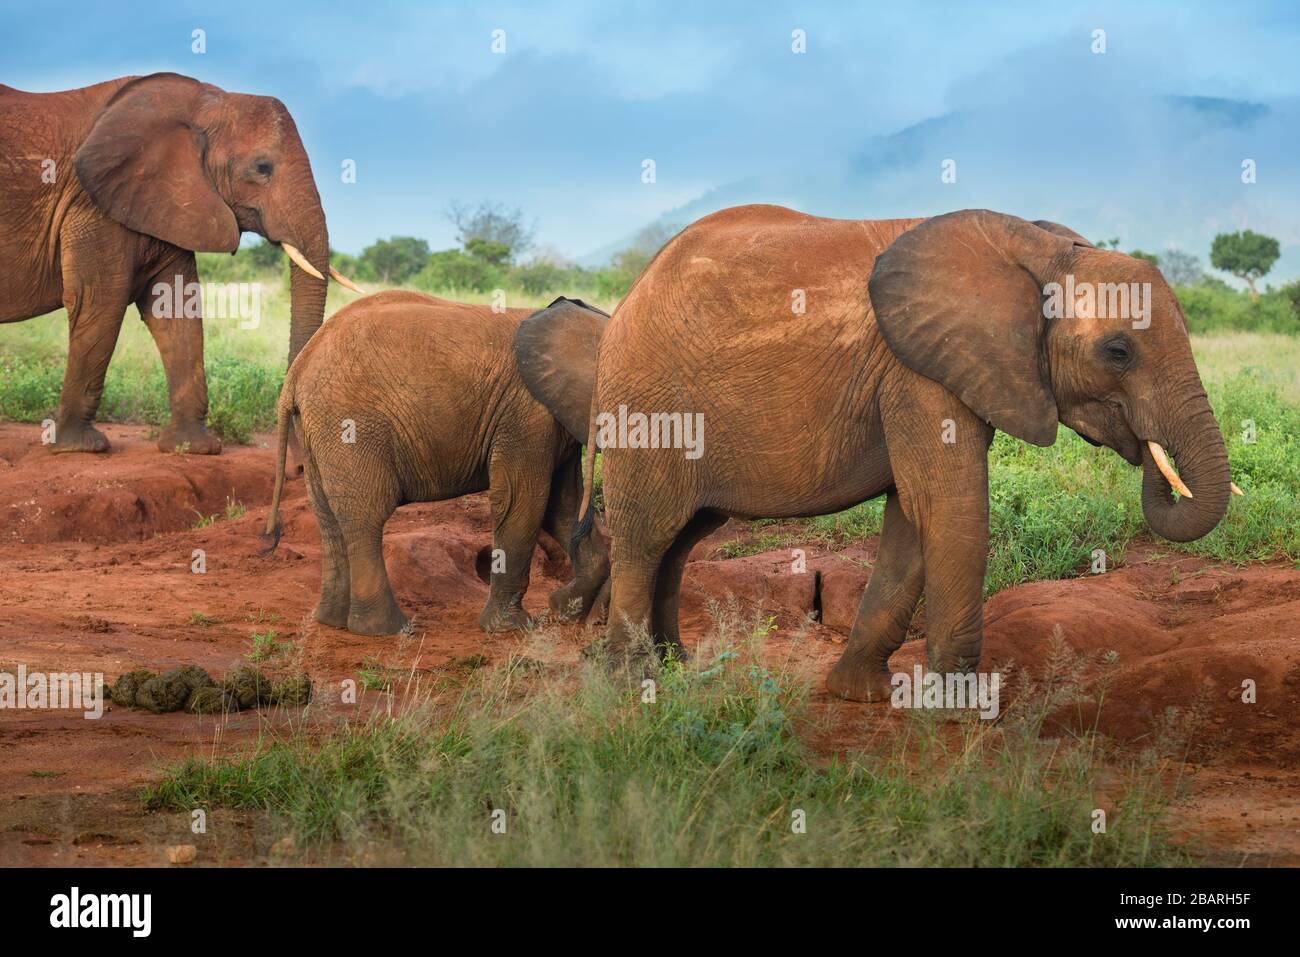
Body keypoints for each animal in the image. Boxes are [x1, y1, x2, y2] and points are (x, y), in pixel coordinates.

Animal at [0, 72, 360, 454]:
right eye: (262, 168)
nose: (298, 461)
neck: (203, 103)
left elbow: (176, 306)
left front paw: (193, 448)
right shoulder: (90, 206)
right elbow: (100, 302)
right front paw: (79, 447)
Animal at [262, 292, 610, 637]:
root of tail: (298, 369)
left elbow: (562, 505)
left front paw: (564, 610)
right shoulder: (526, 414)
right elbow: (523, 500)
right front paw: (510, 628)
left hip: (317, 429)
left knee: (327, 515)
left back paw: (332, 621)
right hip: (349, 425)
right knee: (366, 514)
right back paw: (388, 630)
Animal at [518, 204, 1240, 699]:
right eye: (1118, 351)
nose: (1151, 457)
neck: (1044, 248)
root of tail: (630, 296)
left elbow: (912, 518)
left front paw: (857, 695)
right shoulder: (920, 373)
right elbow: (948, 507)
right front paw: (958, 707)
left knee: (682, 536)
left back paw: (674, 666)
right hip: (648, 406)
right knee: (647, 534)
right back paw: (632, 681)